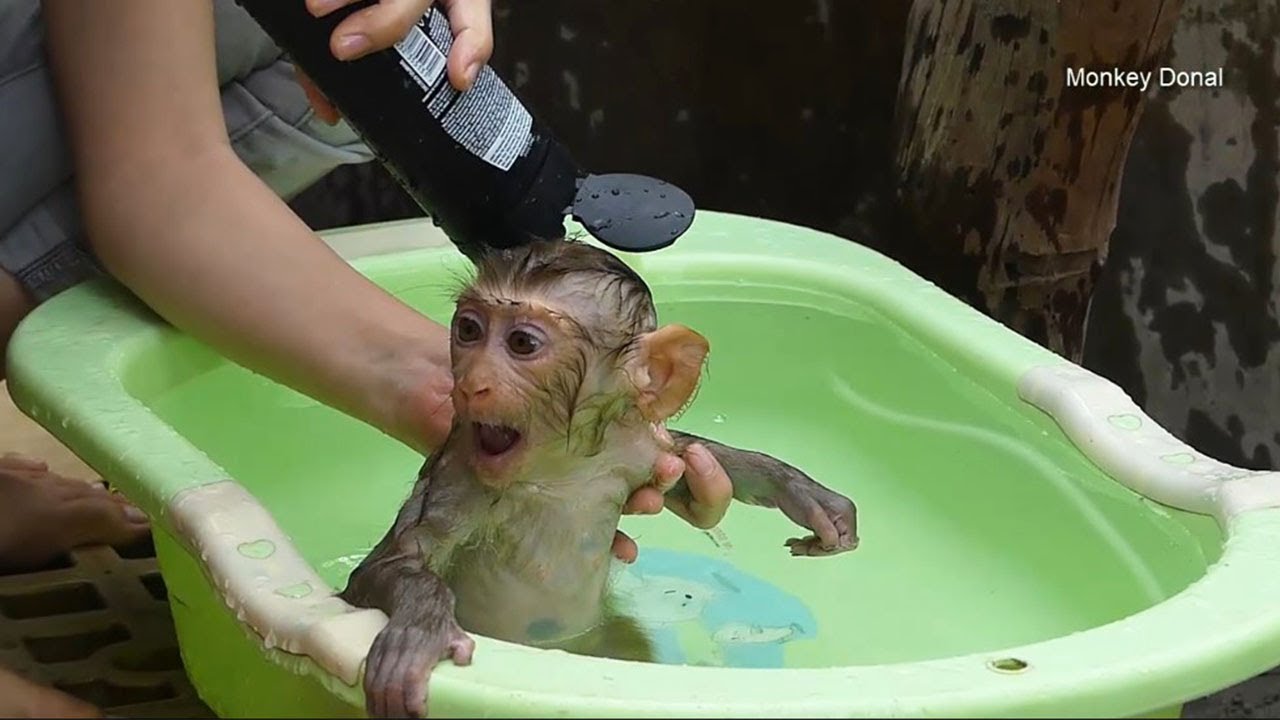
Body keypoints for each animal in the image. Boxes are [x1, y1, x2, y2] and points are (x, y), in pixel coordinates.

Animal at [339, 239, 859, 718]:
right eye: (469, 330)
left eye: (522, 344)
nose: (469, 383)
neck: (558, 470)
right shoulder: (461, 472)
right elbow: (397, 561)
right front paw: (419, 625)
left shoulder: (633, 447)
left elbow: (684, 457)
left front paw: (802, 494)